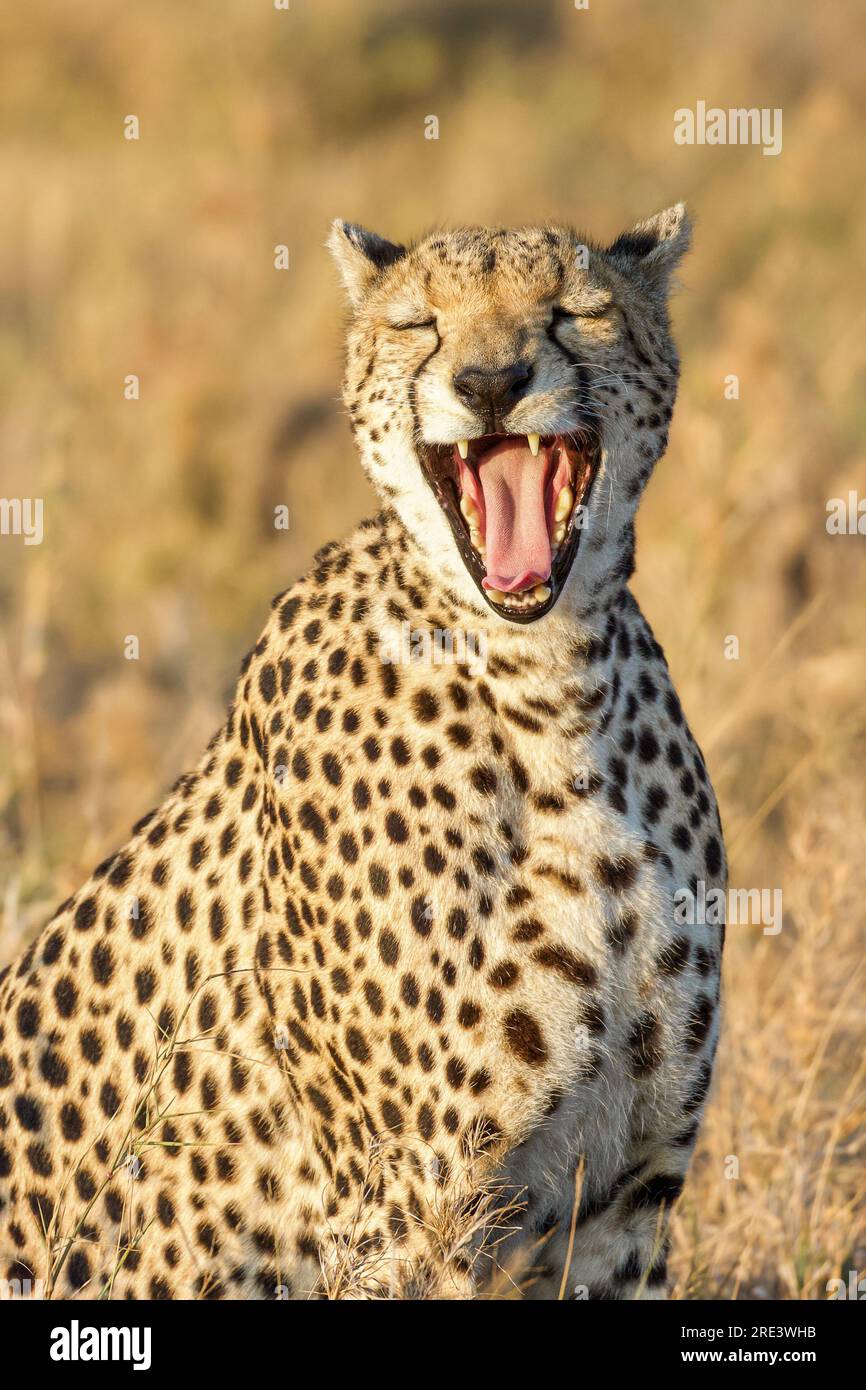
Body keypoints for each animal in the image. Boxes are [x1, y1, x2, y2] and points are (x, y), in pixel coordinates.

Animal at [0, 204, 725, 1301]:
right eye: (419, 324)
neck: (553, 686)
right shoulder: (418, 1207)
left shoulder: (625, 1196)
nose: (489, 384)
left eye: (572, 312)